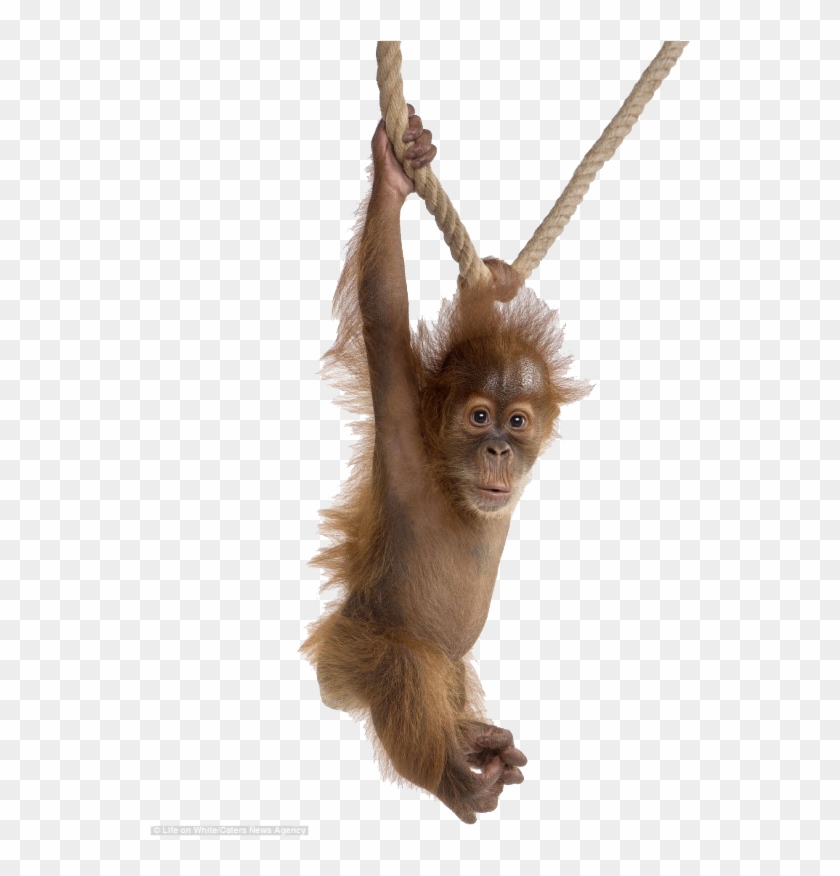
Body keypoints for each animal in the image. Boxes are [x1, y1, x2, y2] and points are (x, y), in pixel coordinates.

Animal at [301, 106, 592, 823]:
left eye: (518, 422)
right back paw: (457, 777)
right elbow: (383, 313)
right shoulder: (405, 435)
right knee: (403, 668)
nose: (498, 450)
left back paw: (477, 740)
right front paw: (392, 177)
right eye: (480, 417)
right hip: (355, 649)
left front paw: (497, 279)